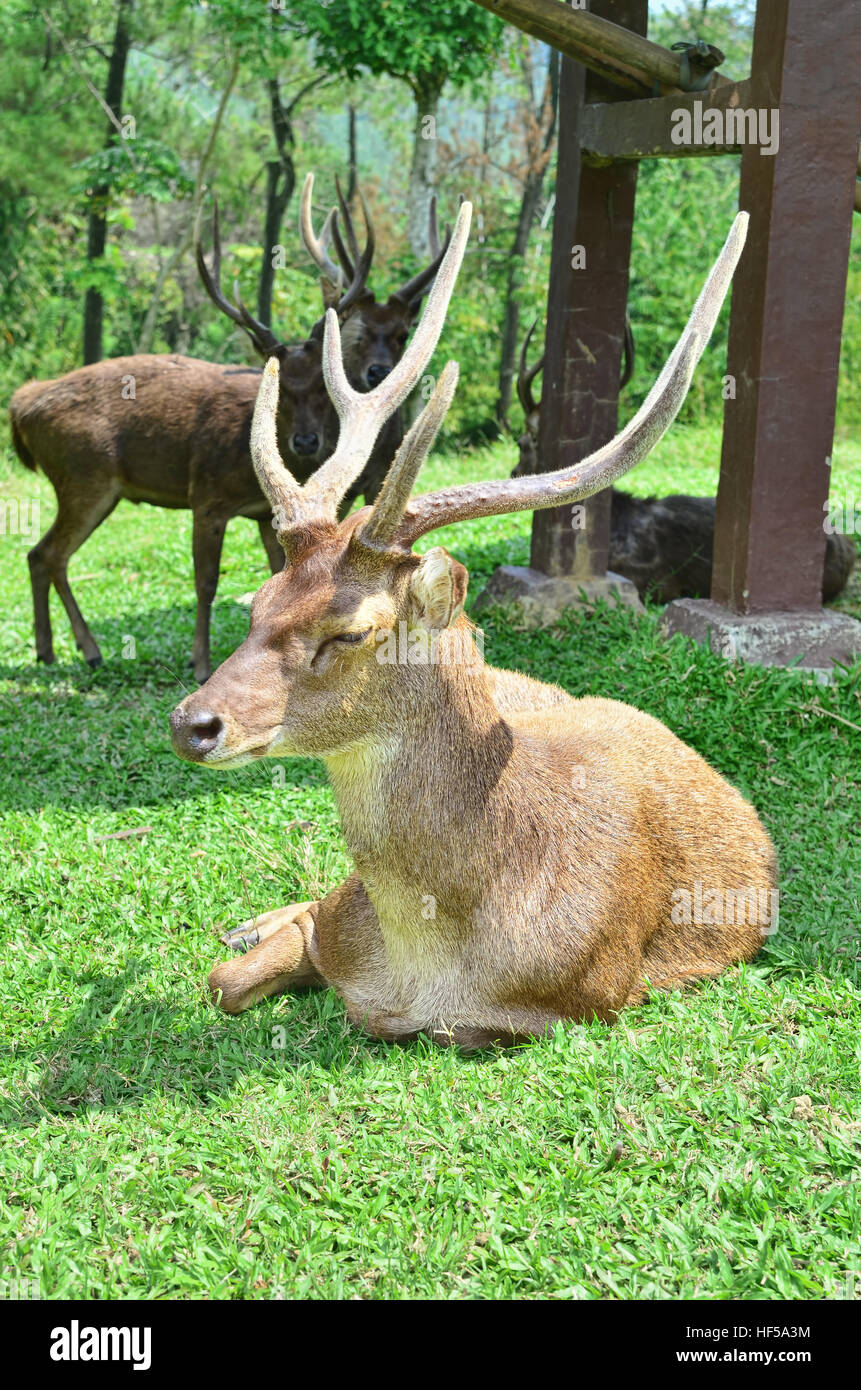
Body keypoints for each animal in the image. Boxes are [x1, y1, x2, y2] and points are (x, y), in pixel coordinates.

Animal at [9, 179, 448, 683]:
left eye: (324, 384)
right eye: (277, 386)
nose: (306, 441)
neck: (247, 468)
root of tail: (20, 407)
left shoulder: (262, 513)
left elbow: (279, 573)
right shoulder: (206, 496)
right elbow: (205, 581)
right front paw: (200, 663)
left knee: (43, 554)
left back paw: (54, 651)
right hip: (84, 477)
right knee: (48, 552)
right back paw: (85, 649)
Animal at [170, 204, 779, 1050]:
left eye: (349, 631)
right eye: (257, 602)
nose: (192, 722)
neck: (426, 968)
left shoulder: (582, 997)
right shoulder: (337, 925)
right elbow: (227, 980)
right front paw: (250, 940)